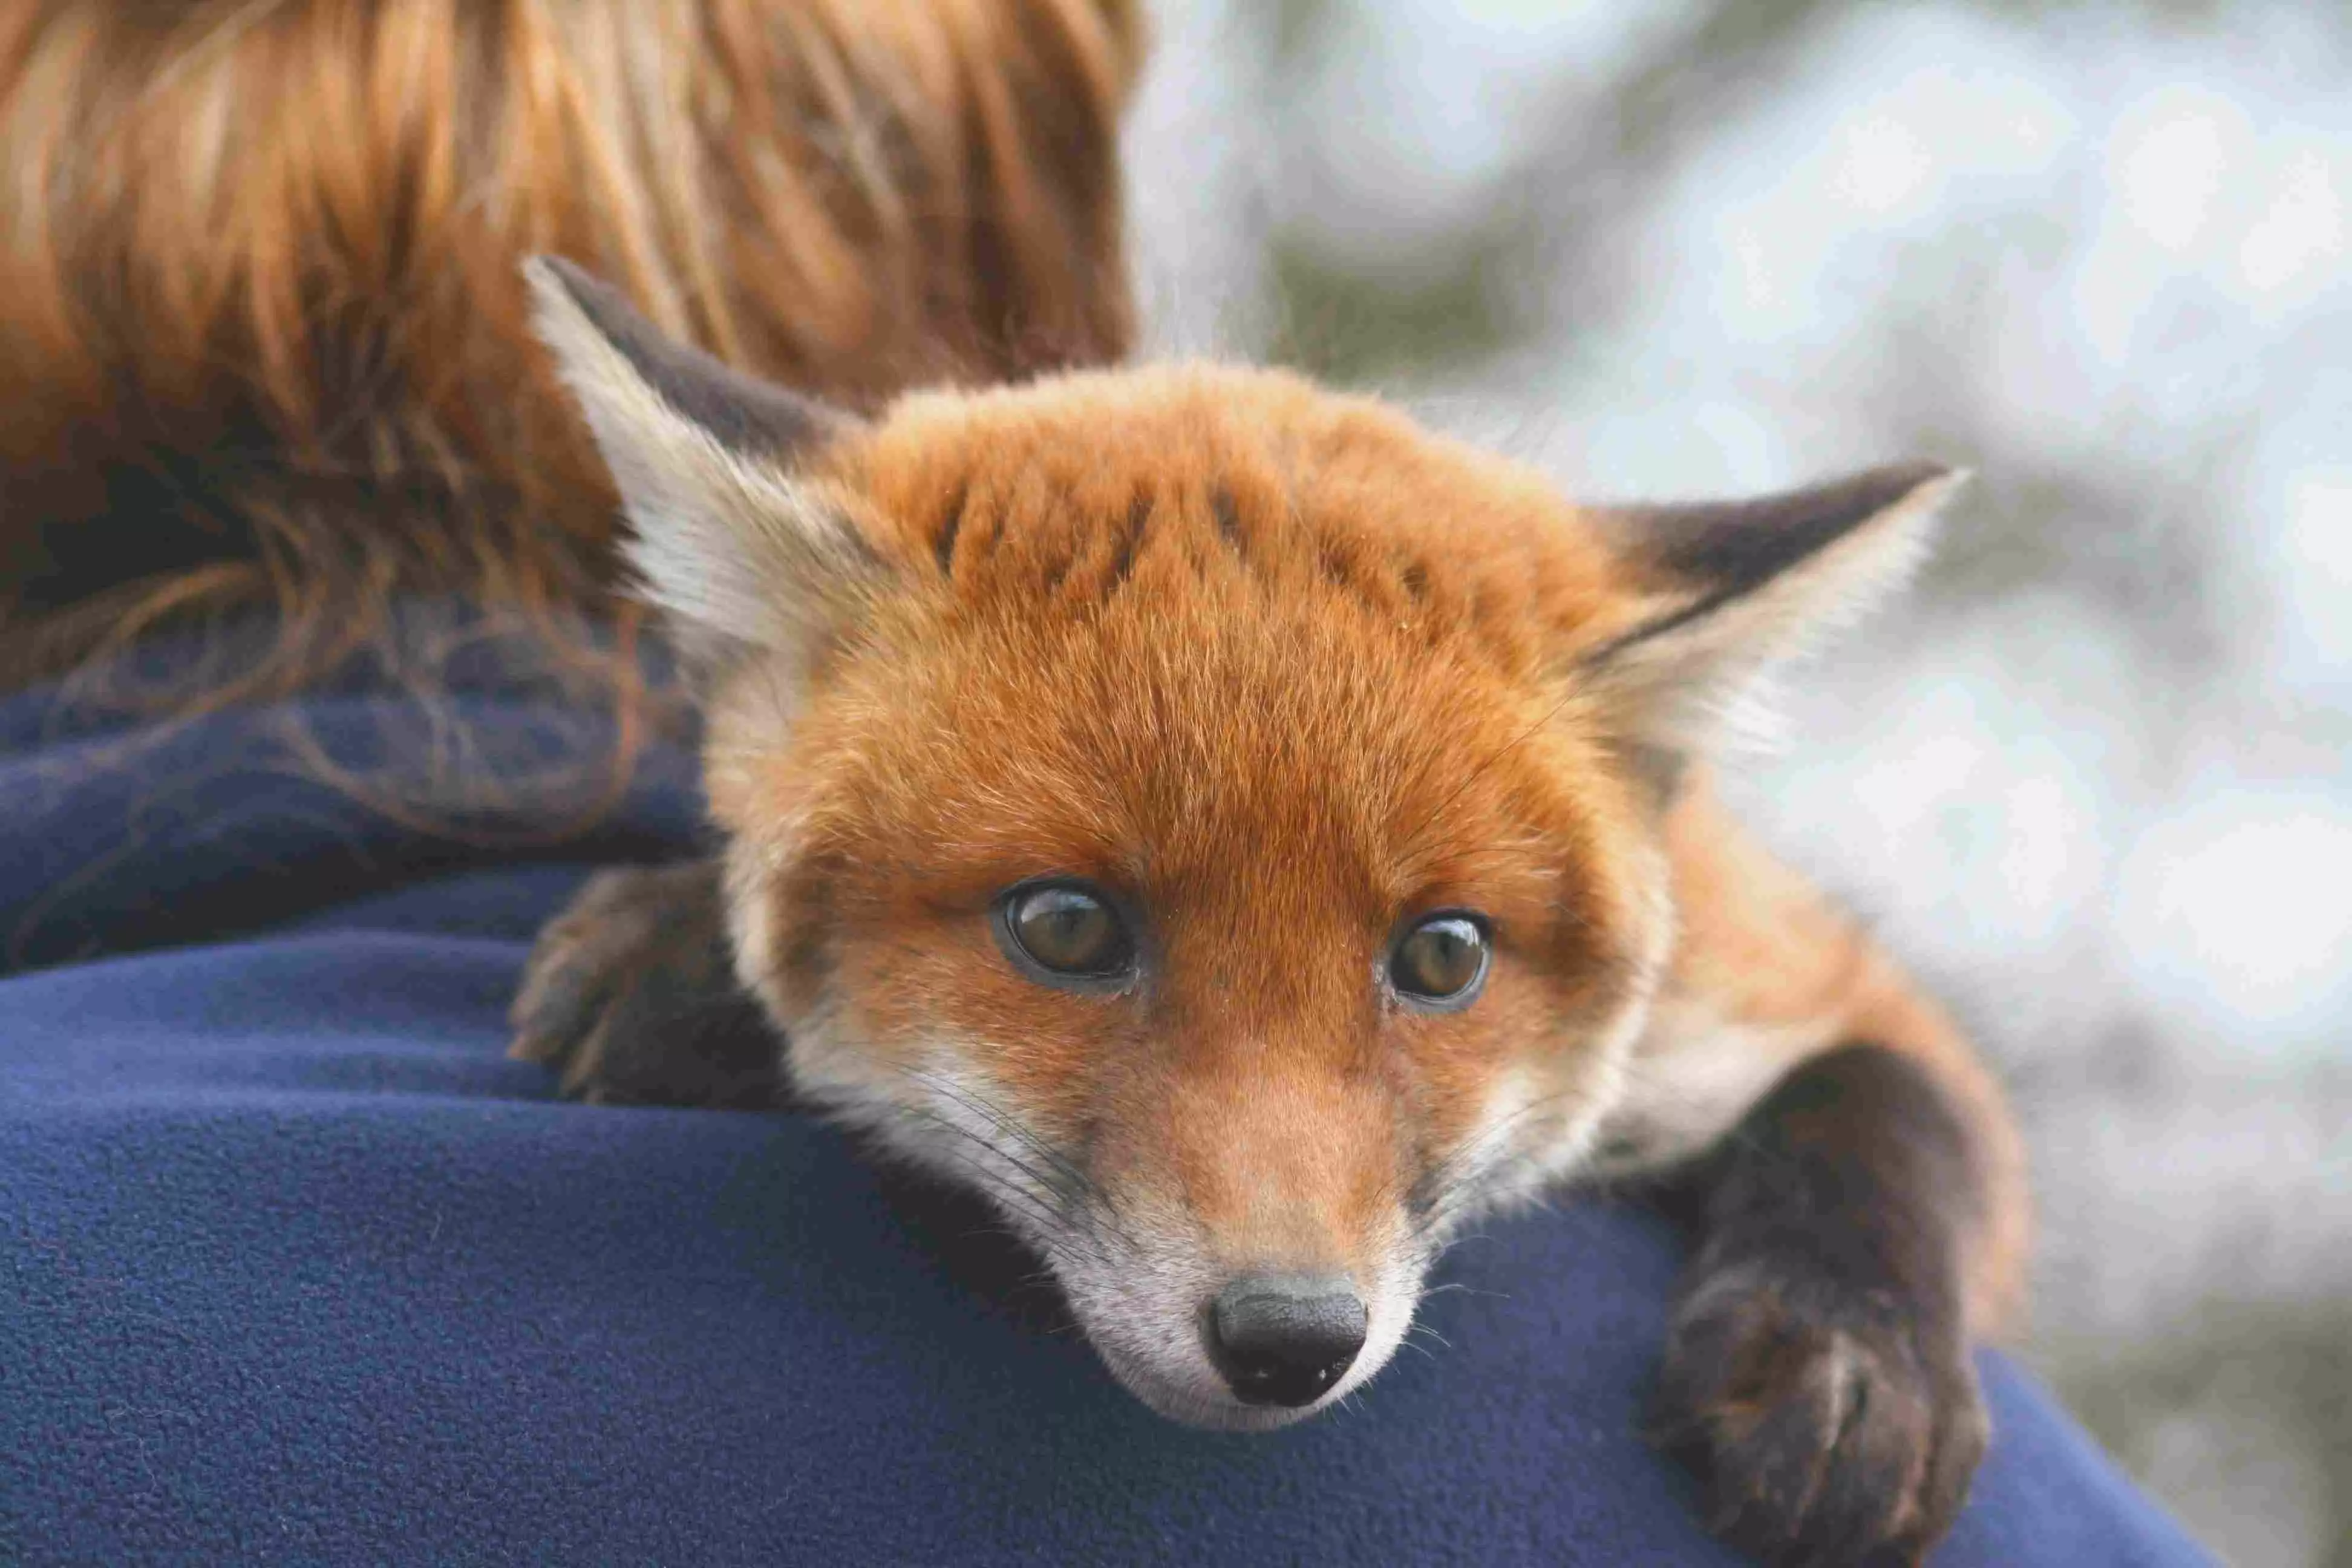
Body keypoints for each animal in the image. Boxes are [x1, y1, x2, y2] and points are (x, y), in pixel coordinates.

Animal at [510, 261, 2022, 1568]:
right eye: (1066, 929)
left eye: (1443, 955)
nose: (1290, 1339)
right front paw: (681, 953)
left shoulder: (1788, 970)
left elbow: (1901, 1102)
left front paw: (1851, 1356)